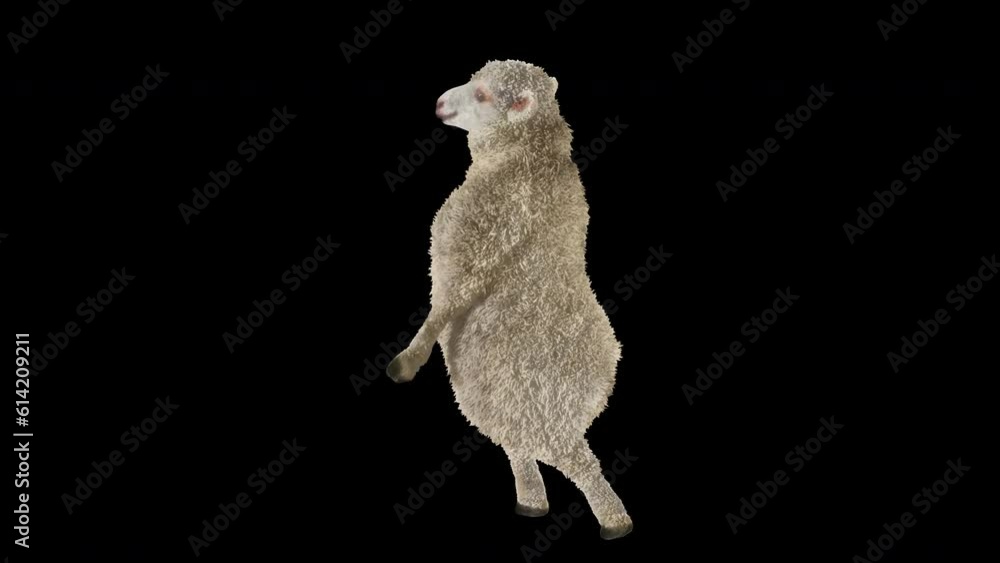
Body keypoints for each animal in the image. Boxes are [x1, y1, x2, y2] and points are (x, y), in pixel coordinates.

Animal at [386, 60, 632, 540]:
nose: (440, 103)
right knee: (529, 446)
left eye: (483, 95)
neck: (529, 158)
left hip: (514, 391)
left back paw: (610, 519)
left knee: (567, 457)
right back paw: (539, 503)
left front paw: (405, 363)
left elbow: (444, 304)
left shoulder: (471, 240)